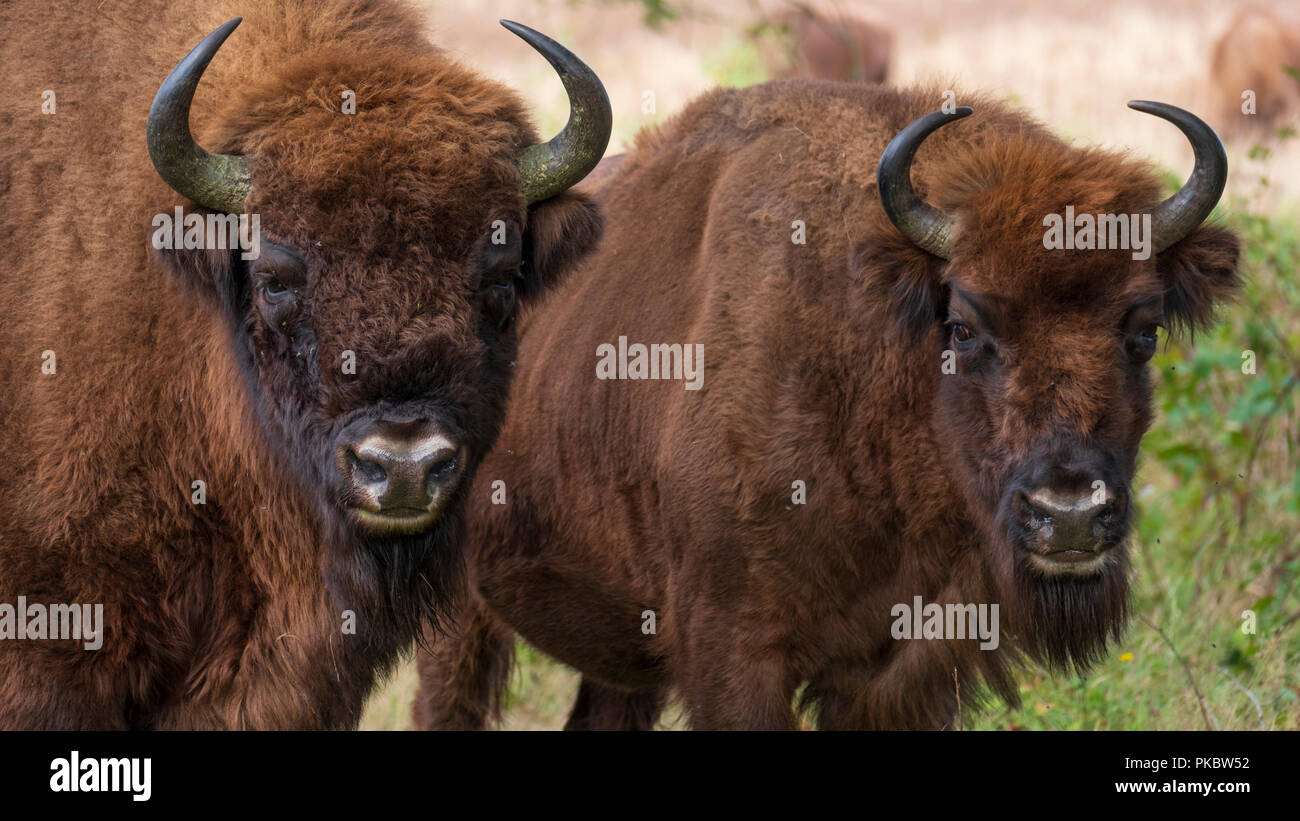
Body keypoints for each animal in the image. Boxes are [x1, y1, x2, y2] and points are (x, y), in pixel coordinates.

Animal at [413, 82, 1239, 730]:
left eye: (1143, 329)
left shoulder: (901, 666)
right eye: (965, 326)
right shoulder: (733, 649)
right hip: (454, 613)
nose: (1069, 514)